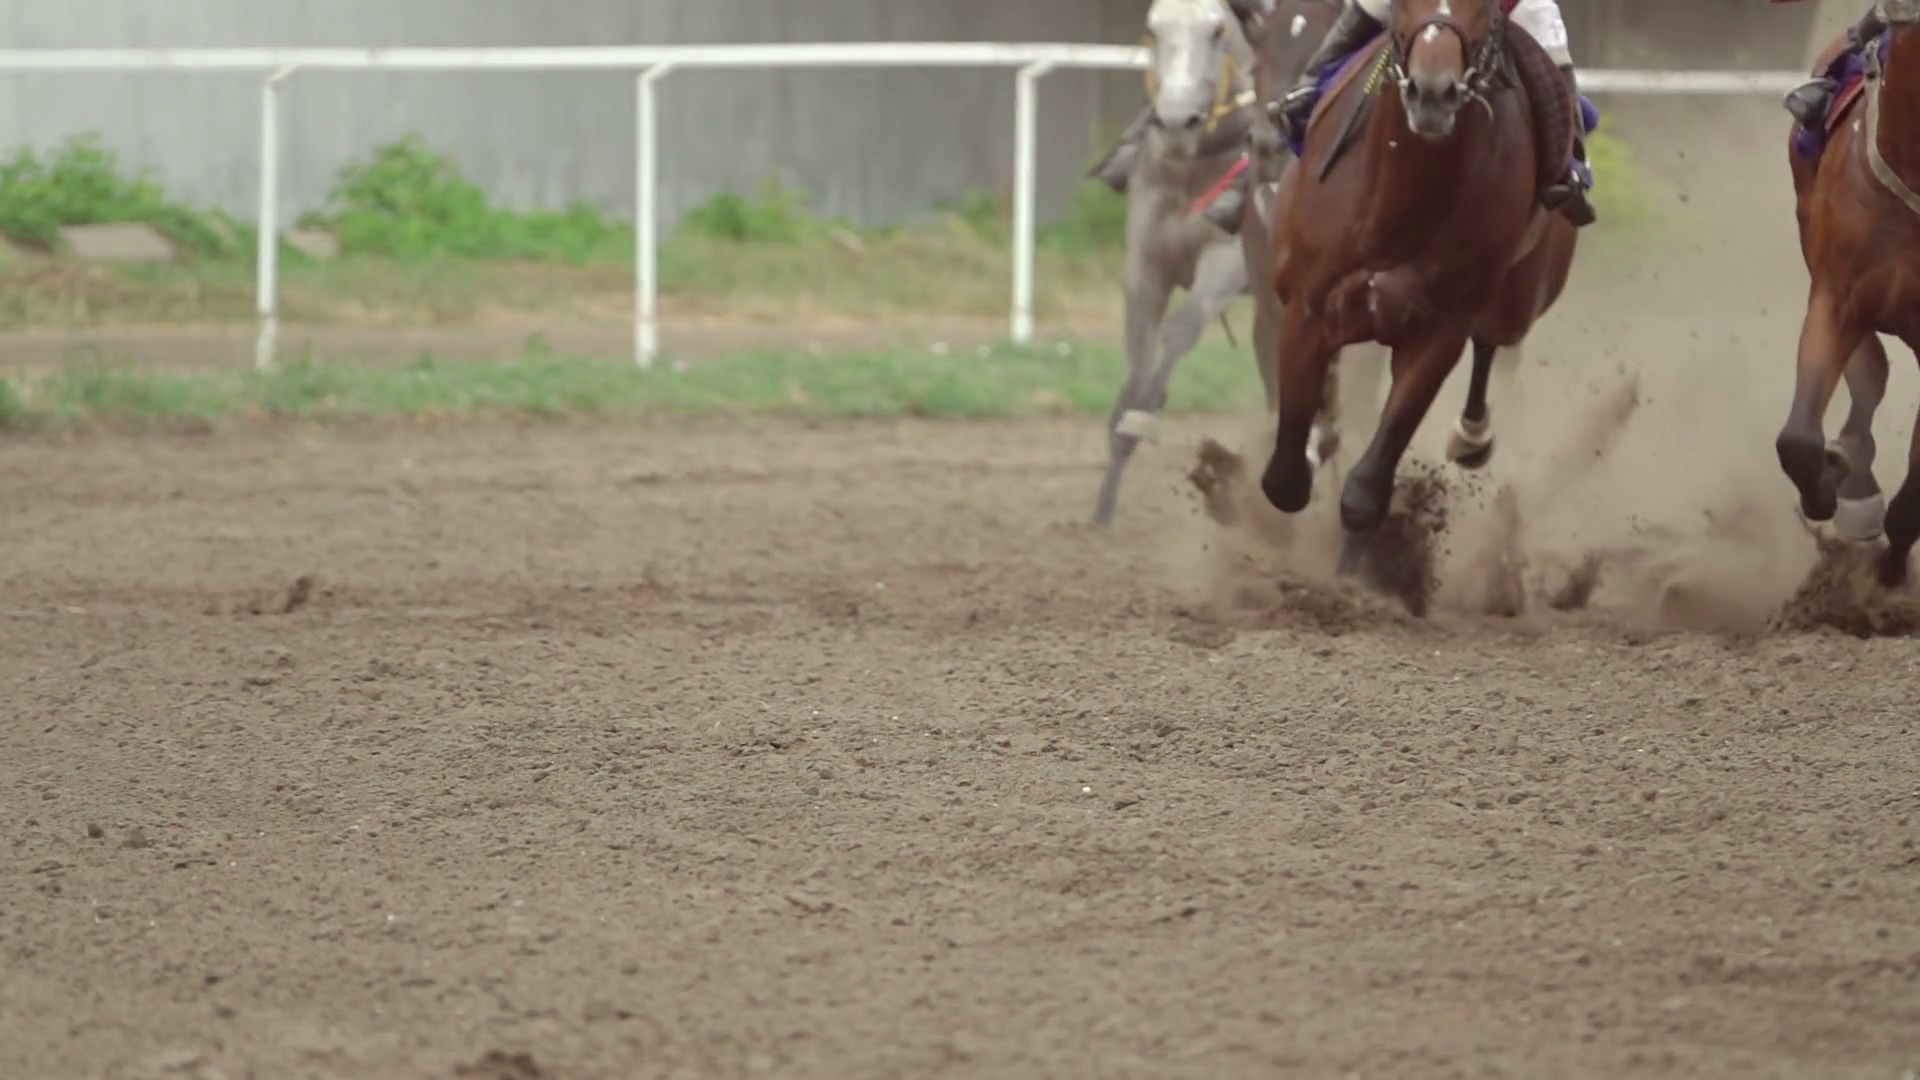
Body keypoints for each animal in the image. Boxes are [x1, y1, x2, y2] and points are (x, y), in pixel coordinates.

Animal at [1089, 0, 1385, 527]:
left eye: (1216, 32)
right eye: (1153, 29)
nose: (1176, 121)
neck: (1192, 168)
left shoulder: (1226, 265)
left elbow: (1182, 329)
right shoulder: (1144, 269)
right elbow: (1135, 372)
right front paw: (1103, 508)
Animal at [1259, 0, 1583, 577]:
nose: (1433, 92)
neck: (1401, 195)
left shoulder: (1437, 330)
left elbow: (1366, 487)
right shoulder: (1307, 310)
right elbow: (1287, 477)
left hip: (1521, 296)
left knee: (1492, 340)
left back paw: (1472, 435)